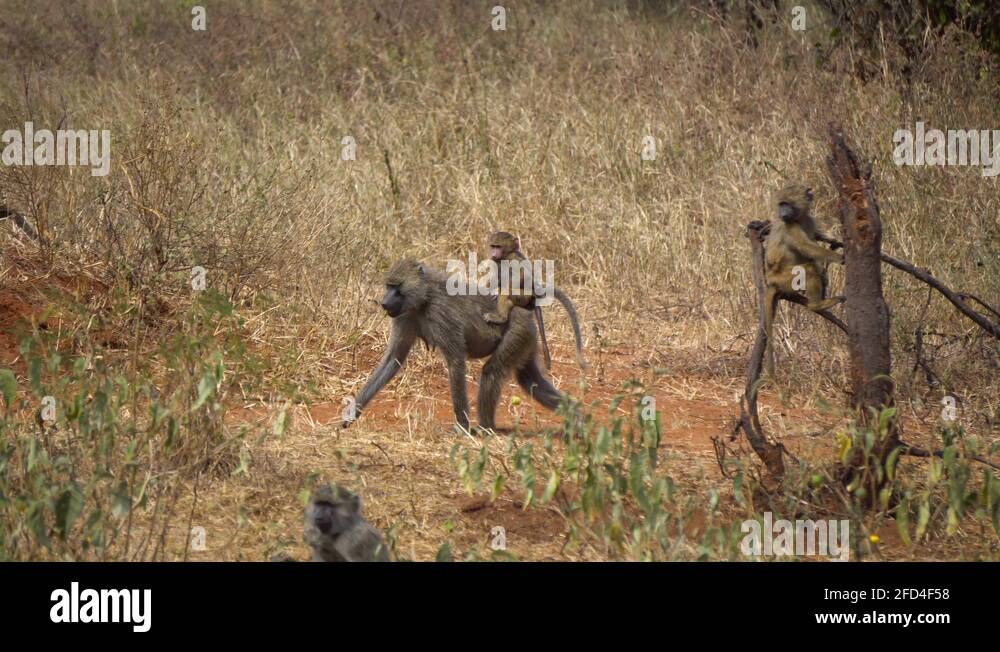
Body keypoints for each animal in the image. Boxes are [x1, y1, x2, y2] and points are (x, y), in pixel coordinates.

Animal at [342, 257, 574, 431]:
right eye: (388, 286)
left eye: (397, 287)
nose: (384, 303)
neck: (424, 297)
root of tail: (525, 312)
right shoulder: (404, 315)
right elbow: (393, 359)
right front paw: (352, 414)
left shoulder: (440, 313)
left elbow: (455, 360)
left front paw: (462, 426)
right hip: (526, 339)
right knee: (531, 382)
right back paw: (577, 418)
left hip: (517, 332)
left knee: (492, 372)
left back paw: (486, 428)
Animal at [481, 230, 588, 370]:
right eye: (493, 246)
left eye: (498, 247)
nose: (493, 254)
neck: (506, 255)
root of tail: (533, 298)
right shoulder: (497, 262)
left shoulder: (514, 258)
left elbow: (521, 275)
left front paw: (497, 290)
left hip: (523, 297)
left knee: (507, 293)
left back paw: (500, 317)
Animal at [763, 185, 844, 371]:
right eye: (781, 204)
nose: (782, 213)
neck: (799, 217)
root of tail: (770, 280)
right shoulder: (790, 225)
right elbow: (806, 246)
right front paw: (841, 258)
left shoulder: (809, 221)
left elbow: (812, 246)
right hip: (784, 278)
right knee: (808, 269)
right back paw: (817, 305)